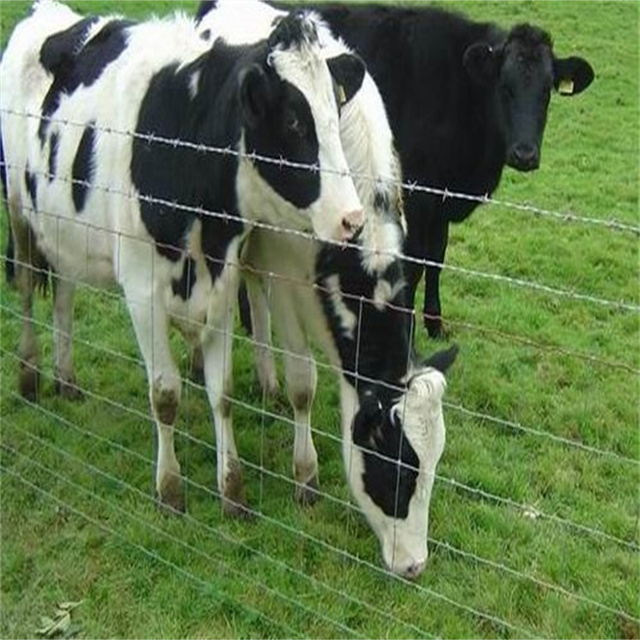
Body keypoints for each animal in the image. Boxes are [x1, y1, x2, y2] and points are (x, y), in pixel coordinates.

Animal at [0, 0, 368, 515]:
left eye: (335, 112)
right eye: (294, 122)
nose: (352, 219)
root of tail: (45, 13)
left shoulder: (222, 281)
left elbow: (222, 393)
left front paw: (231, 488)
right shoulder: (141, 293)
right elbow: (165, 394)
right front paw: (170, 488)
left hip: (64, 227)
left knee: (65, 296)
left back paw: (66, 377)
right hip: (19, 208)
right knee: (28, 288)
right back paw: (30, 375)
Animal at [195, 0, 459, 578]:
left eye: (434, 466)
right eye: (396, 470)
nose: (415, 566)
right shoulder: (287, 273)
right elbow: (304, 384)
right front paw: (306, 475)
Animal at [197, 0, 595, 338]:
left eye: (546, 92)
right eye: (505, 88)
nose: (525, 153)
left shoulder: (440, 201)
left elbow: (437, 259)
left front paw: (435, 322)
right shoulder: (417, 197)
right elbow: (414, 266)